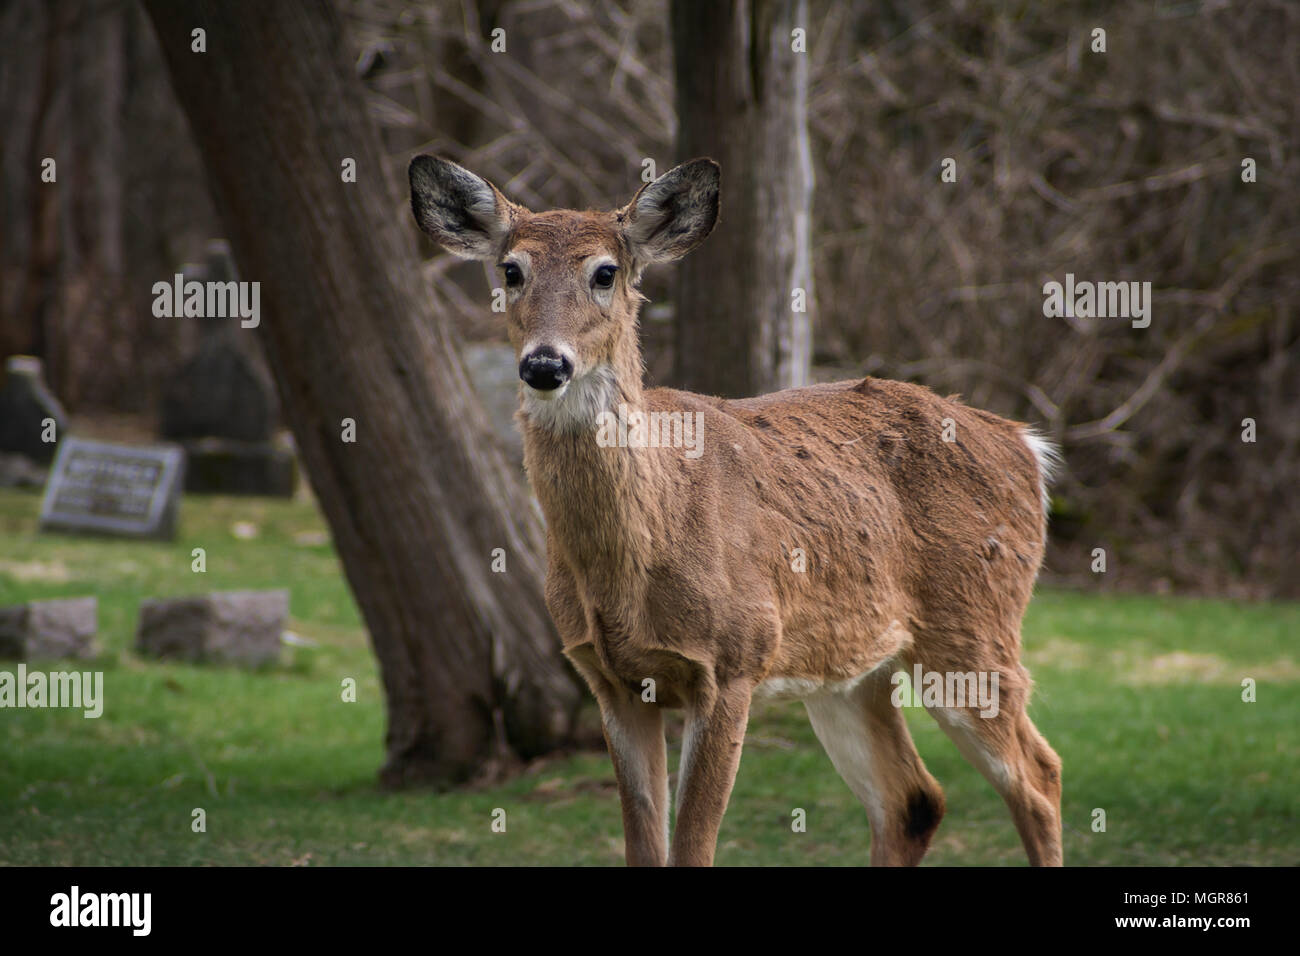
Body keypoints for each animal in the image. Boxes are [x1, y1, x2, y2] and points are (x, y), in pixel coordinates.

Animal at [409, 154, 1064, 867]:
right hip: (847, 667)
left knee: (1039, 776)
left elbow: (693, 849)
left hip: (974, 625)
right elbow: (645, 849)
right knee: (914, 800)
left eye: (605, 272)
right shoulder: (608, 678)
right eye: (511, 270)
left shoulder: (733, 659)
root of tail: (1028, 448)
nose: (545, 364)